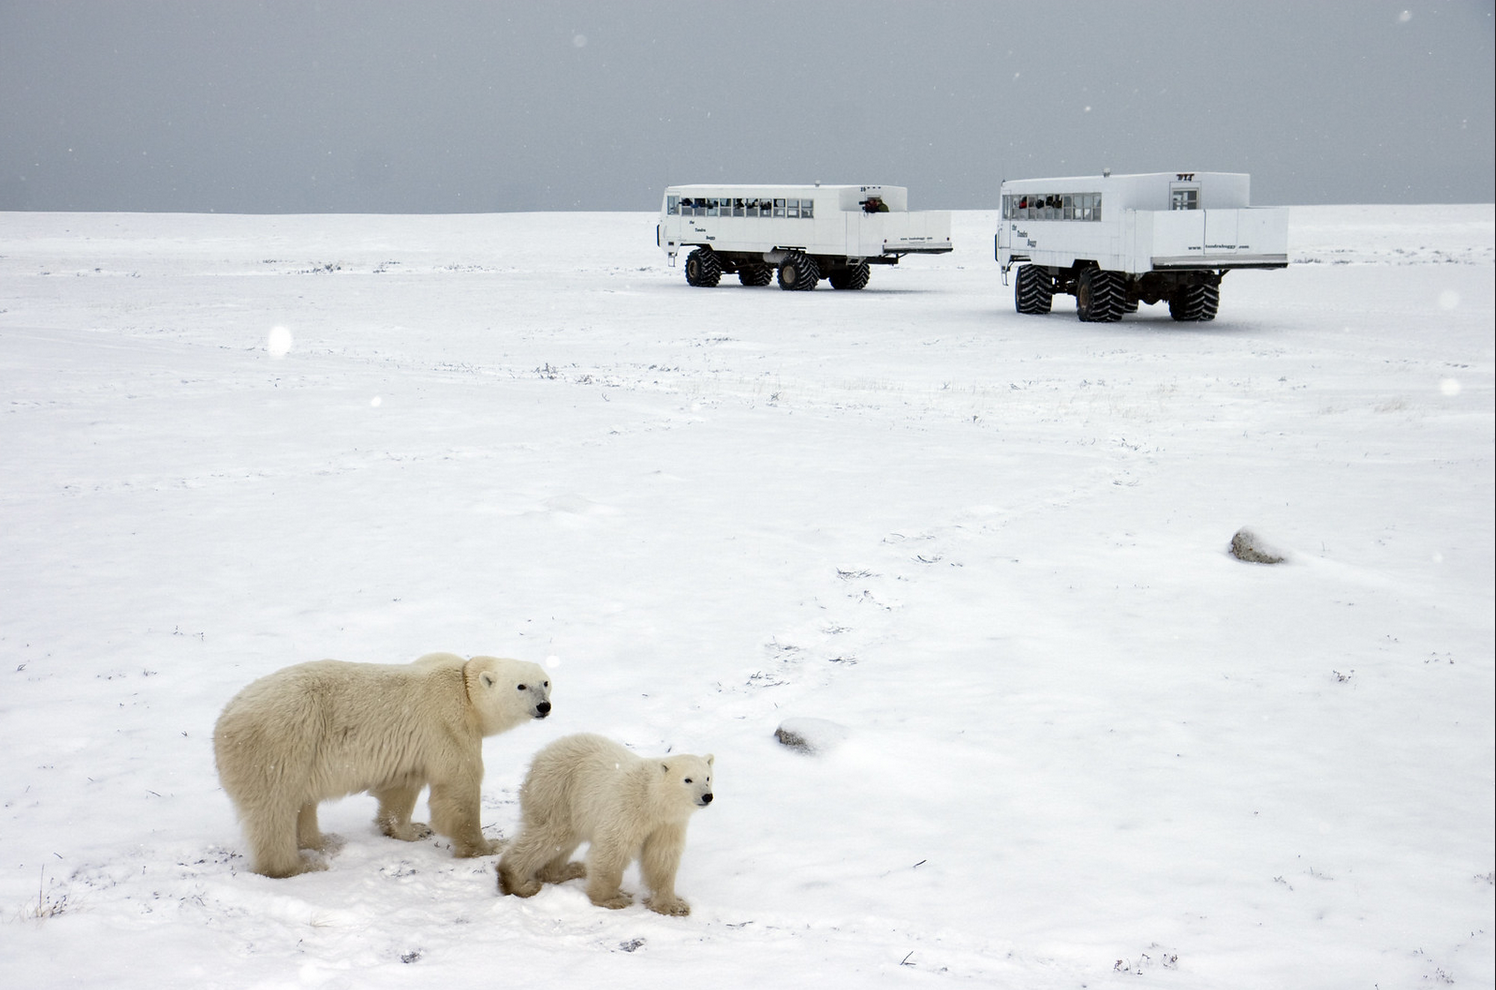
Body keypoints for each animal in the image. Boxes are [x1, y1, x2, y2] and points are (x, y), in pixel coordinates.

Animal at [213, 652, 552, 878]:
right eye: (521, 686)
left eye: (546, 682)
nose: (544, 706)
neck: (464, 687)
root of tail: (223, 722)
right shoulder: (448, 724)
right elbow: (458, 789)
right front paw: (487, 845)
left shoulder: (414, 745)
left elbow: (401, 786)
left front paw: (411, 829)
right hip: (280, 743)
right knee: (274, 809)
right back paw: (299, 865)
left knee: (300, 803)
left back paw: (324, 843)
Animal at [497, 733, 713, 916]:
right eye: (687, 779)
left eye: (708, 777)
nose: (707, 796)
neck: (652, 800)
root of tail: (540, 755)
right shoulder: (628, 809)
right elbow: (613, 849)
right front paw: (612, 899)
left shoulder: (667, 824)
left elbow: (661, 857)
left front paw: (673, 905)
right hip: (558, 793)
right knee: (549, 834)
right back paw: (518, 883)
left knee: (565, 839)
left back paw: (568, 870)